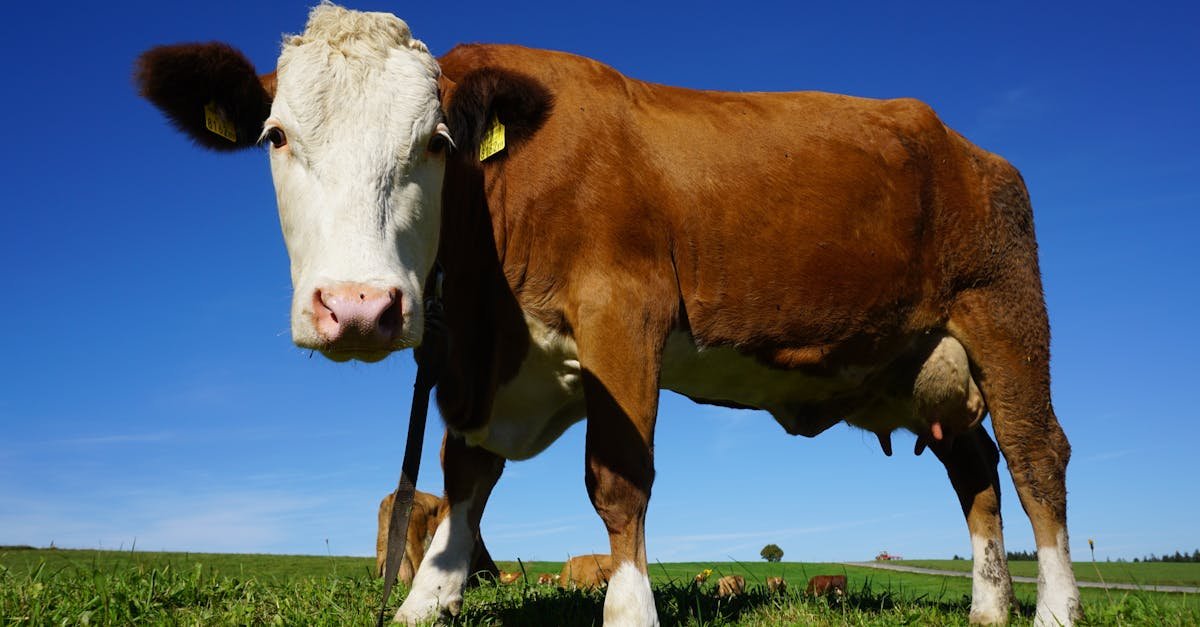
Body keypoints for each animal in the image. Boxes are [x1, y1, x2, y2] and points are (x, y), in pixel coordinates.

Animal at [136, 2, 1084, 619]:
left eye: (434, 143)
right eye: (277, 137)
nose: (360, 307)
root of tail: (972, 148)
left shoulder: (623, 314)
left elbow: (617, 480)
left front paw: (629, 607)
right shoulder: (485, 367)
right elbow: (461, 483)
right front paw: (424, 600)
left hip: (1005, 315)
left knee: (1036, 460)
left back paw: (1055, 608)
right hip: (922, 366)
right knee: (976, 473)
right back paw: (988, 612)